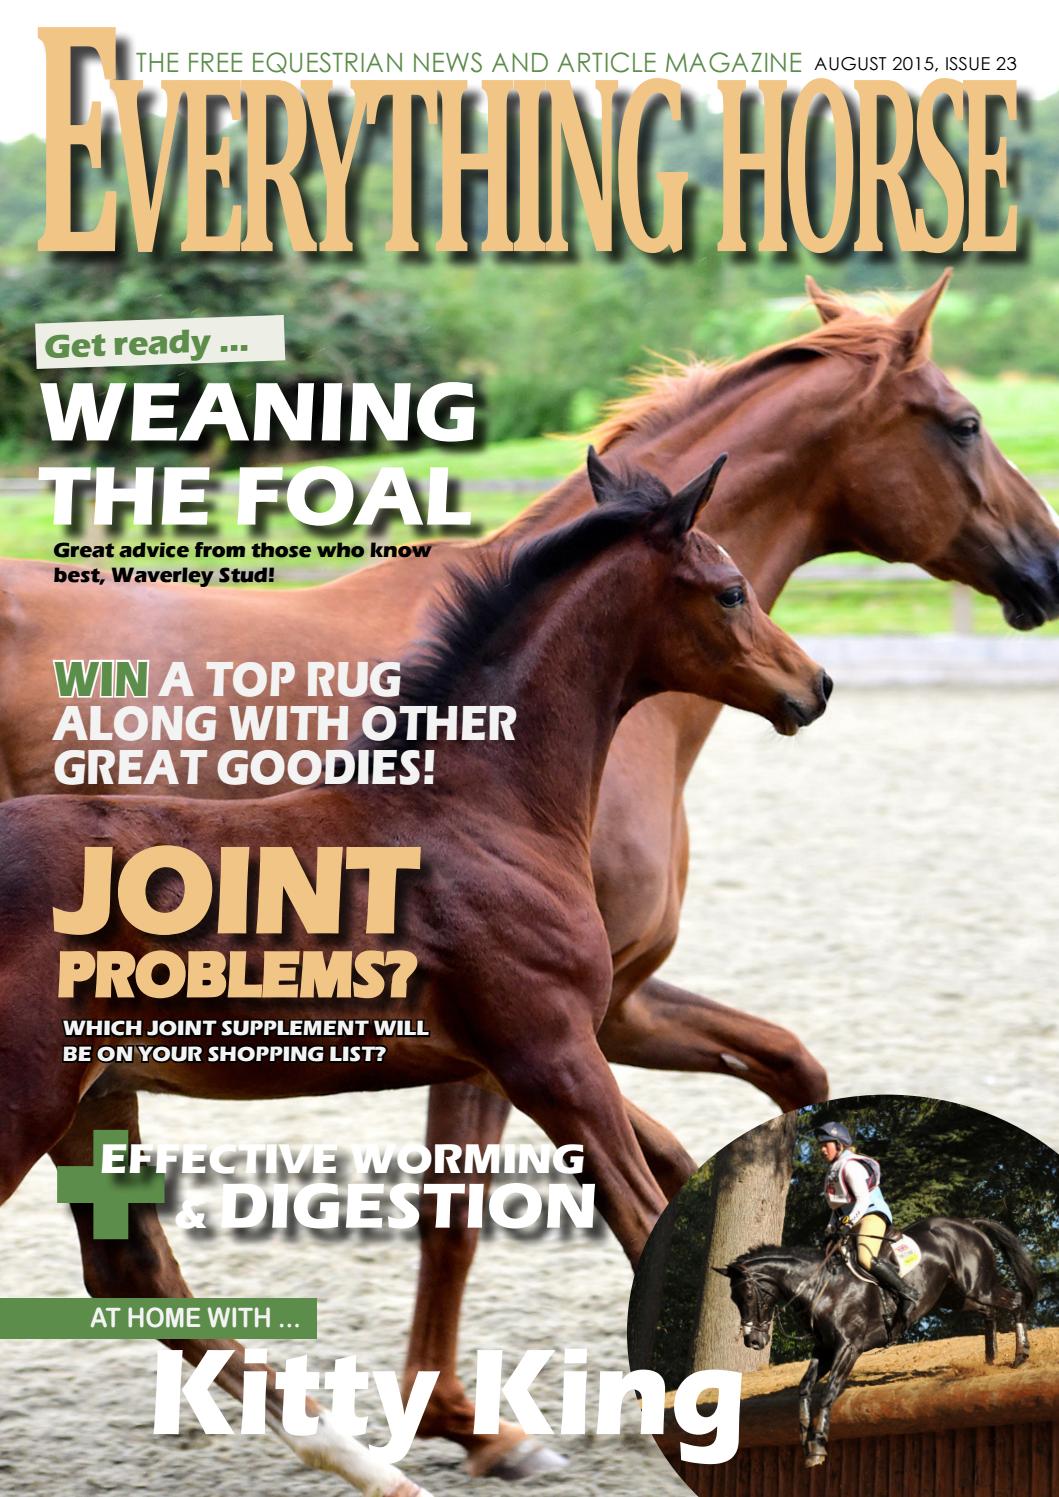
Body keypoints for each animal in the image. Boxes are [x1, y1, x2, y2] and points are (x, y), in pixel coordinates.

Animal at [0, 452, 831, 1497]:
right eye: (729, 591)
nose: (815, 683)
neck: (480, 807)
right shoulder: (554, 1056)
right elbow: (639, 1217)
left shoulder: (531, 1051)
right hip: (29, 1100)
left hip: (96, 1095)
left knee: (133, 1272)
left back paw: (374, 1466)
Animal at [716, 1217, 1038, 1467]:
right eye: (733, 1298)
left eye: (747, 1295)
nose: (753, 1341)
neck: (824, 1288)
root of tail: (969, 1224)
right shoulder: (825, 1349)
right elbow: (805, 1387)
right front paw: (805, 1434)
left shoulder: (849, 1348)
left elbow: (830, 1390)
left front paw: (818, 1444)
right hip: (956, 1297)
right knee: (989, 1312)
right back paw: (990, 1357)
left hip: (977, 1286)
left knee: (1016, 1300)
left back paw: (1020, 1355)